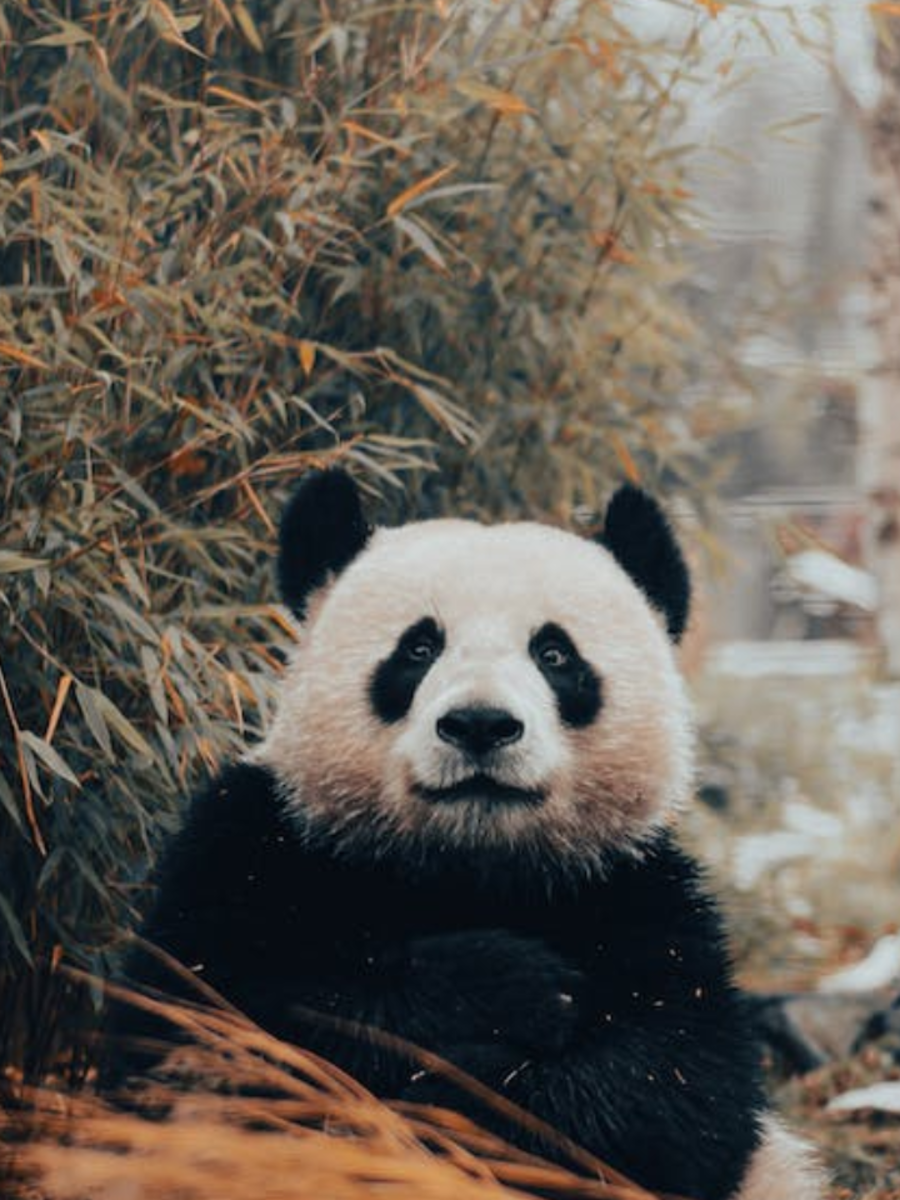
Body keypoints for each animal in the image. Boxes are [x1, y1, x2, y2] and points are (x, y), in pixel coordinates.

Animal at [109, 468, 822, 1200]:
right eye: (419, 648)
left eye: (554, 653)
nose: (481, 723)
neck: (469, 865)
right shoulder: (256, 844)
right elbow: (206, 1027)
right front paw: (504, 983)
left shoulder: (641, 893)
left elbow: (673, 1095)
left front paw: (481, 1084)